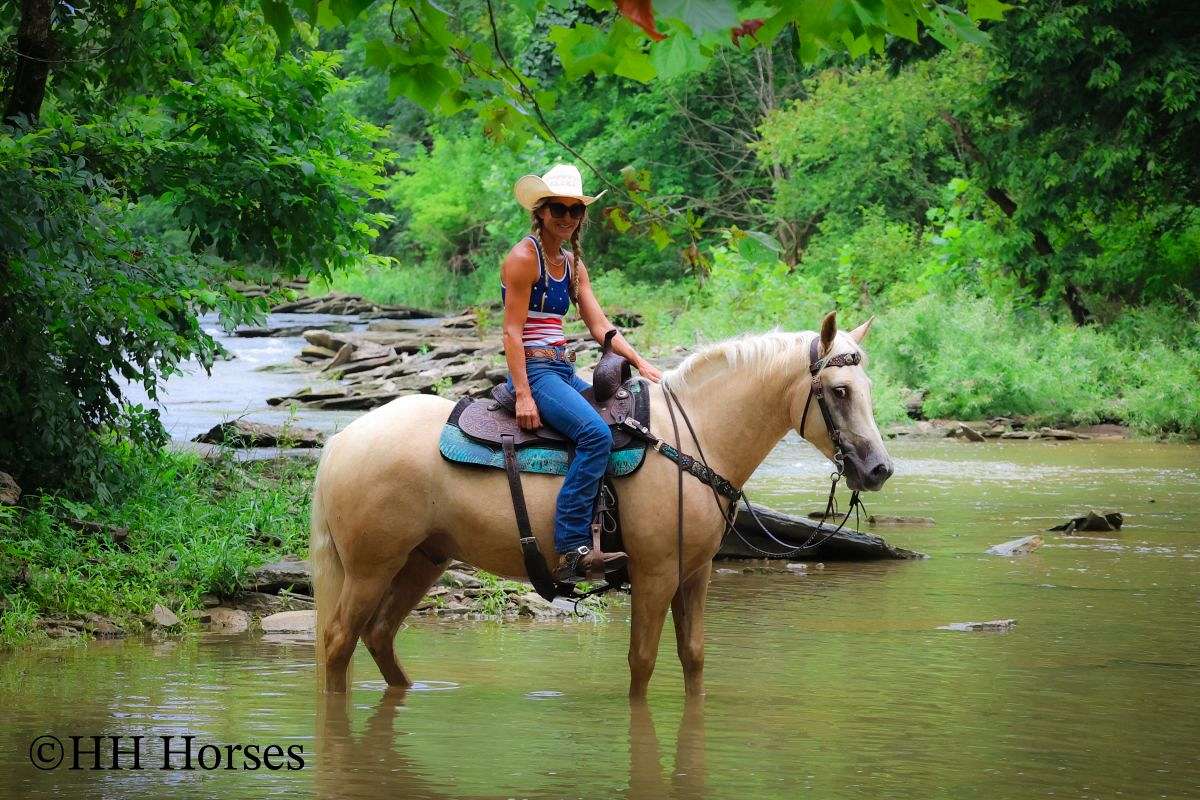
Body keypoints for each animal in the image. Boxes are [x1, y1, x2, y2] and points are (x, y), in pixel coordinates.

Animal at [309, 311, 893, 699]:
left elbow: (693, 658)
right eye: (838, 390)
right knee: (339, 642)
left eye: (866, 385)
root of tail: (344, 440)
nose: (879, 469)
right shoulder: (655, 573)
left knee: (378, 636)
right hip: (371, 566)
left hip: (423, 559)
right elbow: (642, 662)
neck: (692, 437)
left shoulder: (695, 572)